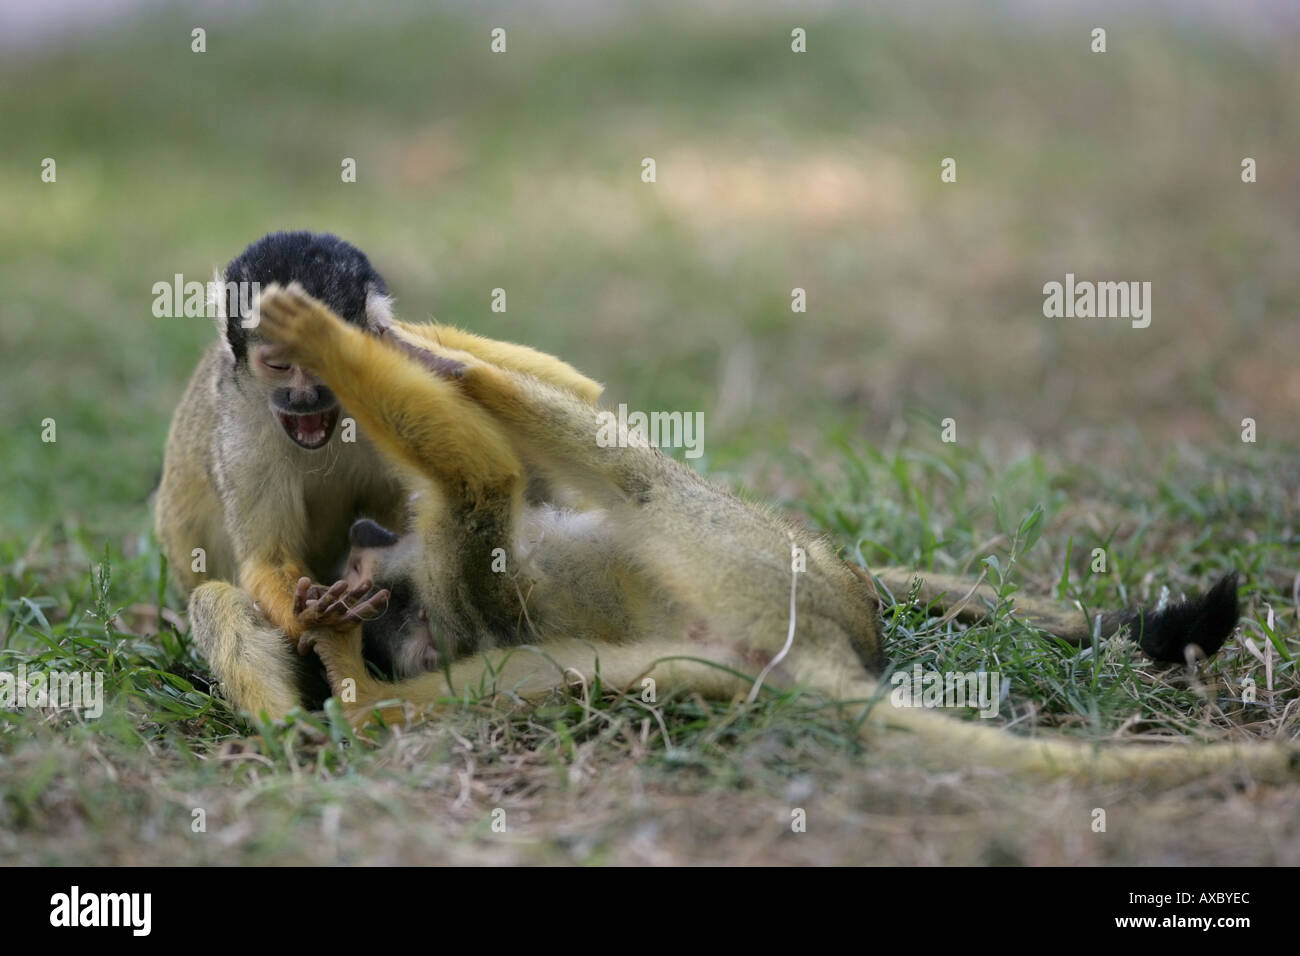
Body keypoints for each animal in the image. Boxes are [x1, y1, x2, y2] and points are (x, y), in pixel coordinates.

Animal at [154, 231, 605, 719]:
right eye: (278, 365)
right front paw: (312, 616)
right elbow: (266, 558)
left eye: (315, 366)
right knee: (213, 599)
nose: (302, 396)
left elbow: (579, 389)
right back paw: (293, 724)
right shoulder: (239, 423)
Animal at [250, 282, 1296, 782]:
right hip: (753, 579)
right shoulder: (458, 567)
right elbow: (485, 483)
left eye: (367, 547)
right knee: (641, 486)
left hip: (698, 647)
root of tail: (827, 651)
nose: (369, 536)